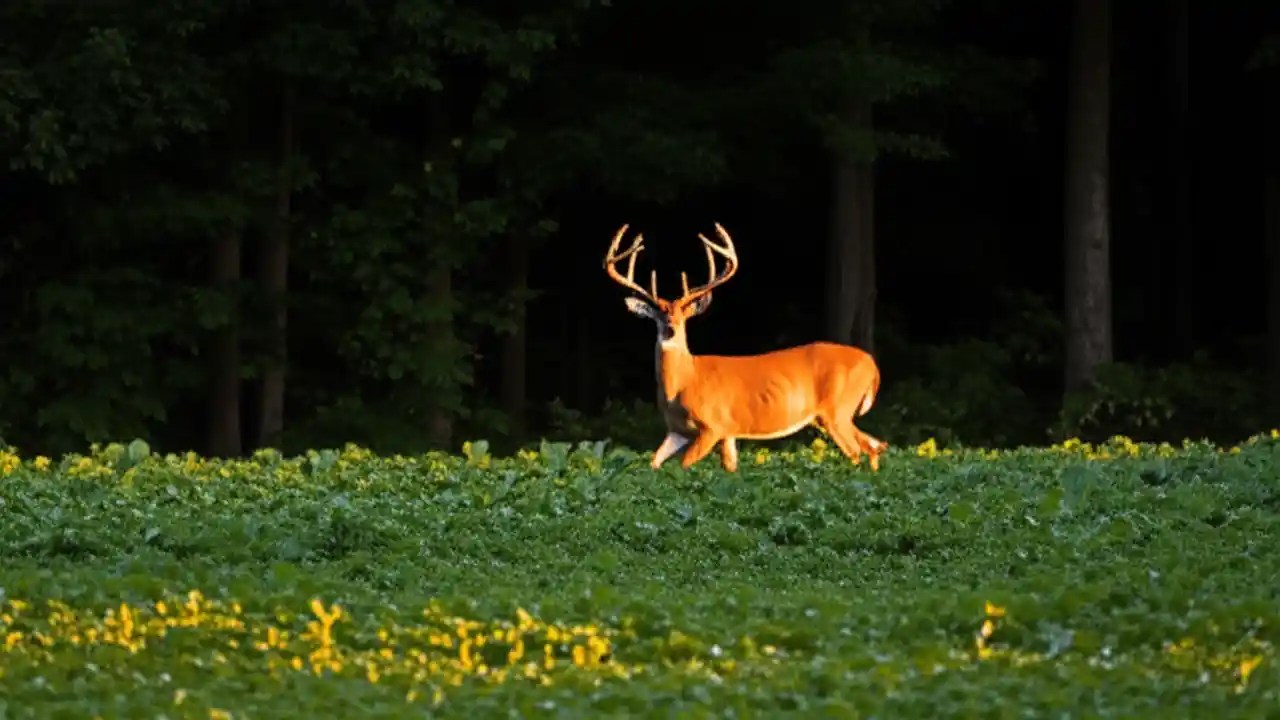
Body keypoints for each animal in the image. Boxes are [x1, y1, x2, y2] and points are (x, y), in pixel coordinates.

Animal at [604, 222, 888, 473]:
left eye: (684, 316)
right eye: (658, 315)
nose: (670, 328)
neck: (683, 382)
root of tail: (872, 364)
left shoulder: (714, 426)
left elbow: (684, 466)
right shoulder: (681, 431)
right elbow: (659, 464)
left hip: (838, 409)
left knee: (858, 451)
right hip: (833, 415)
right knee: (876, 446)